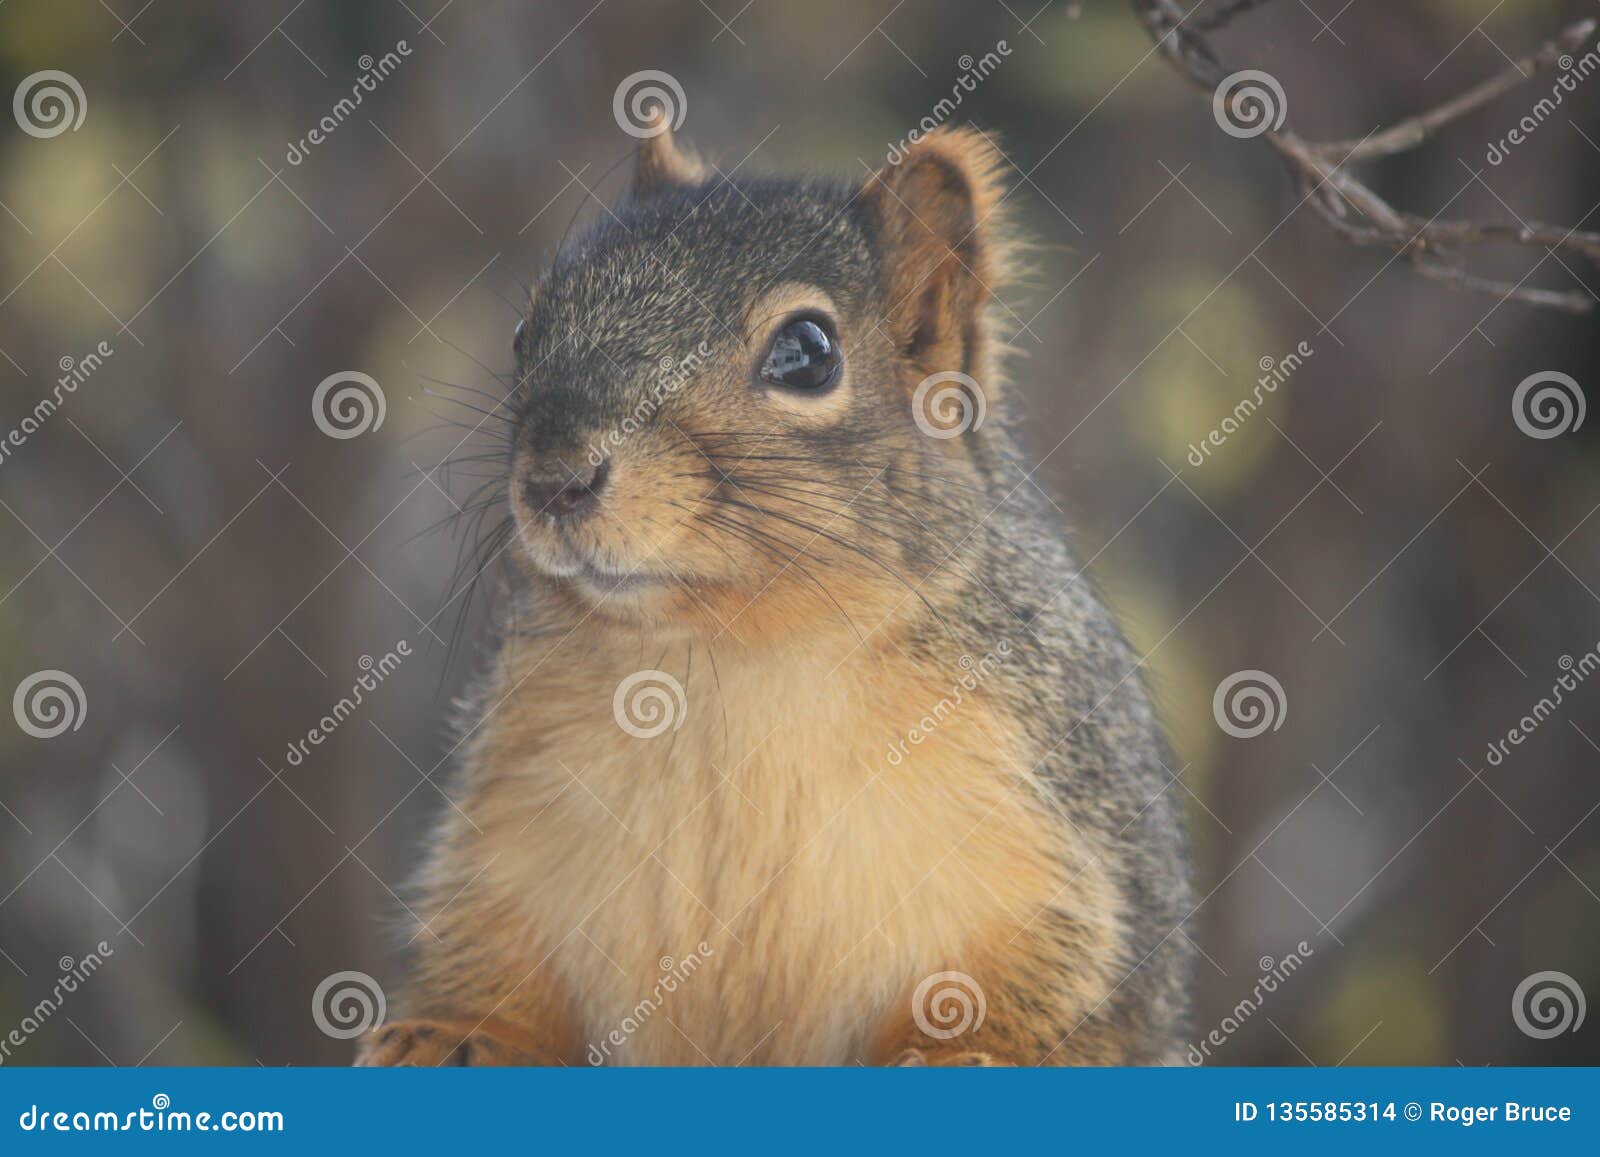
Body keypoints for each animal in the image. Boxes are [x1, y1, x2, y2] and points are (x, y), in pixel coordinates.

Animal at [355, 118, 1192, 1067]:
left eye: (807, 353)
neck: (730, 651)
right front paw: (451, 1035)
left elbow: (1061, 979)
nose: (555, 479)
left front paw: (965, 1052)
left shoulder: (1050, 833)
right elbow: (491, 953)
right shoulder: (510, 836)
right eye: (526, 330)